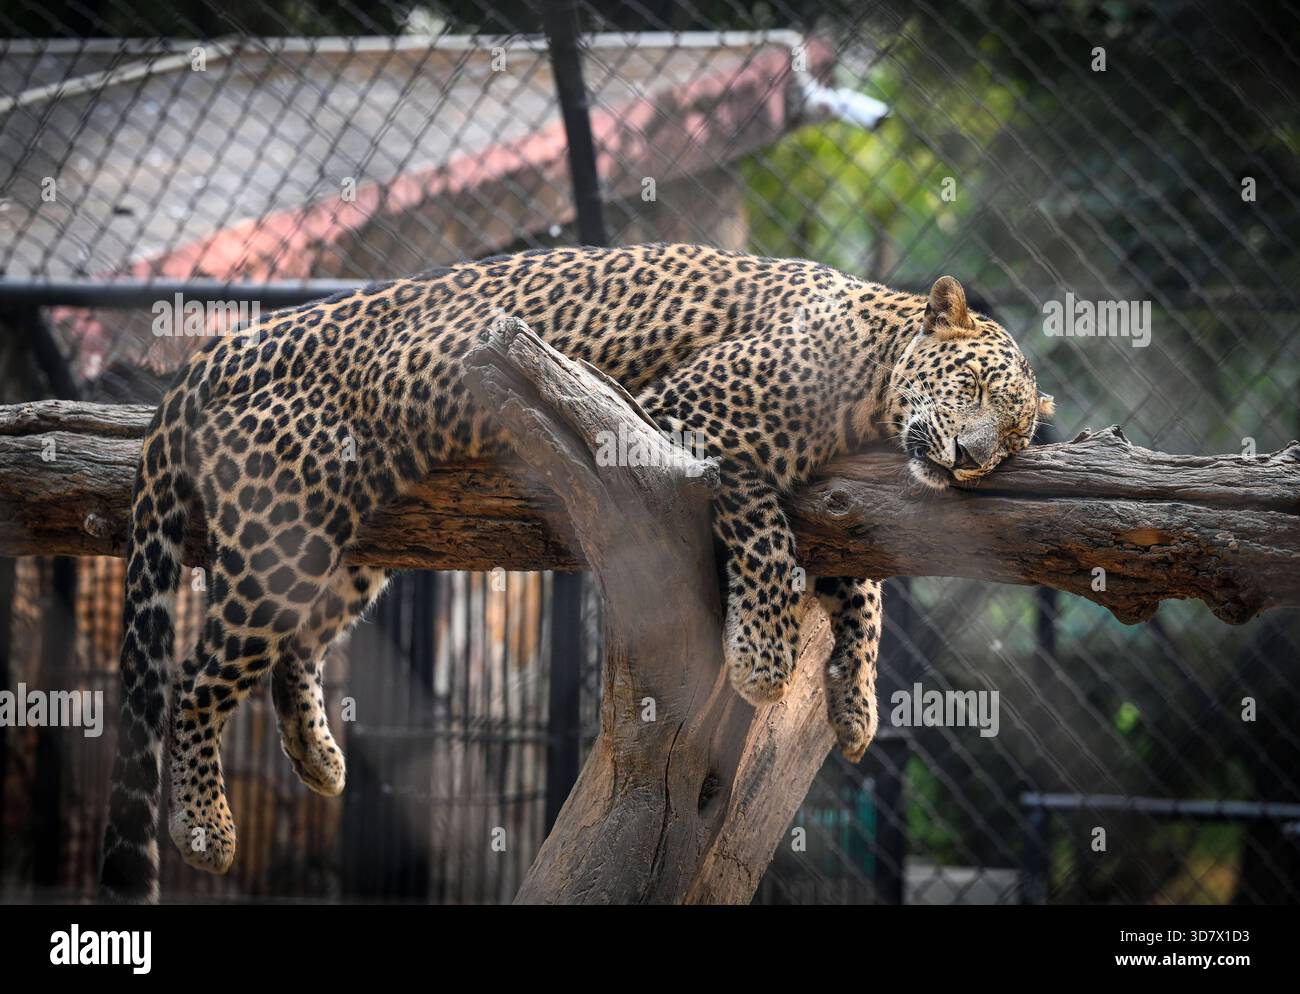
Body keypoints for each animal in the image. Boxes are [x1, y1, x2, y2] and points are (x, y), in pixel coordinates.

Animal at [97, 243, 1052, 902]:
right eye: (972, 385)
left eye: (1013, 438)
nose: (972, 459)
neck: (874, 376)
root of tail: (223, 349)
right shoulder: (685, 420)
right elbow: (766, 534)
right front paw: (762, 658)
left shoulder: (838, 507)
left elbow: (864, 592)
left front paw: (852, 703)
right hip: (278, 531)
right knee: (194, 680)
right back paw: (207, 828)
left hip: (337, 539)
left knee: (293, 647)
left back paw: (317, 755)